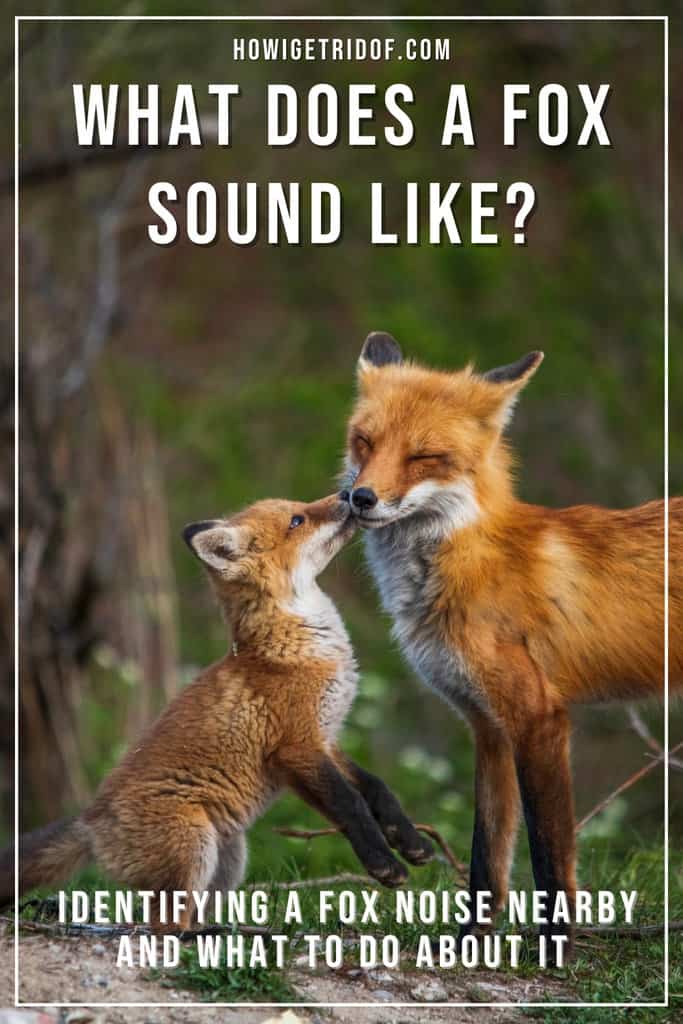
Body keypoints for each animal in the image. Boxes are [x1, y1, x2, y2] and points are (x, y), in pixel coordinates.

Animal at [1, 493, 433, 927]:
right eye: (297, 520)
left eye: (299, 507)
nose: (349, 495)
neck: (297, 646)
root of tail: (90, 821)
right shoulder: (295, 749)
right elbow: (351, 805)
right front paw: (384, 865)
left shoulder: (324, 739)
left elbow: (376, 787)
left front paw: (410, 840)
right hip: (194, 846)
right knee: (160, 926)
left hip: (228, 859)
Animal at [342, 331, 682, 948]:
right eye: (365, 441)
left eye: (423, 456)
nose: (360, 498)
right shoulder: (487, 725)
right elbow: (488, 852)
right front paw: (470, 939)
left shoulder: (538, 716)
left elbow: (549, 853)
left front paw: (555, 946)